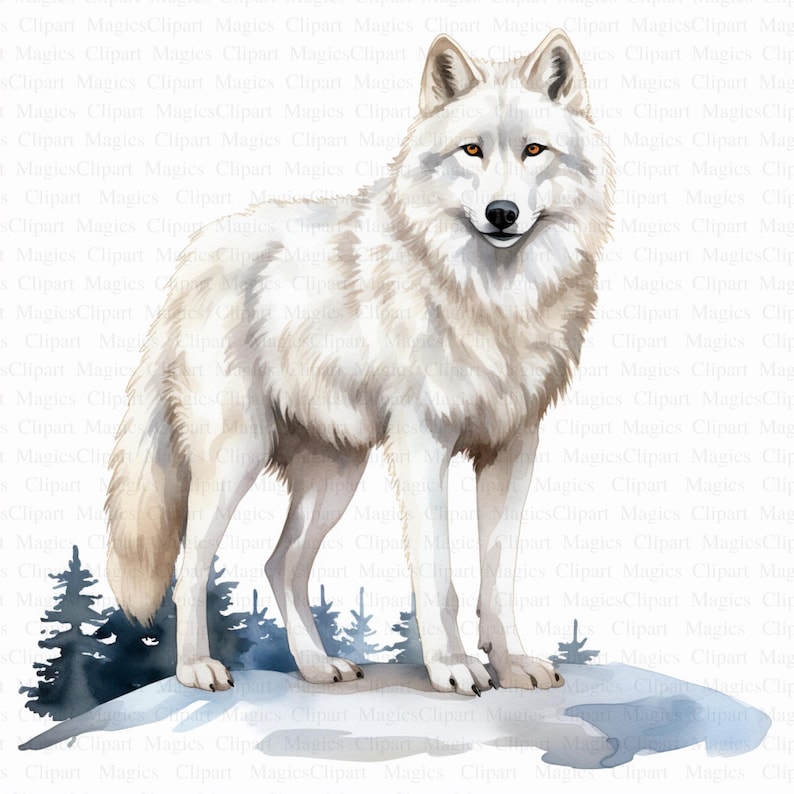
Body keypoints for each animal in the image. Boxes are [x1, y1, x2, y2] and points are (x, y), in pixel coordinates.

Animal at [106, 30, 614, 696]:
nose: (501, 213)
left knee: (280, 564)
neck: (491, 295)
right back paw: (196, 669)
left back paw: (318, 667)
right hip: (234, 458)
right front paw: (452, 667)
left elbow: (498, 576)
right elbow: (439, 573)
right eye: (471, 150)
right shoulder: (423, 441)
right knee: (193, 562)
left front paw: (511, 664)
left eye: (535, 150)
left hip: (335, 476)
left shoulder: (514, 444)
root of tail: (191, 258)